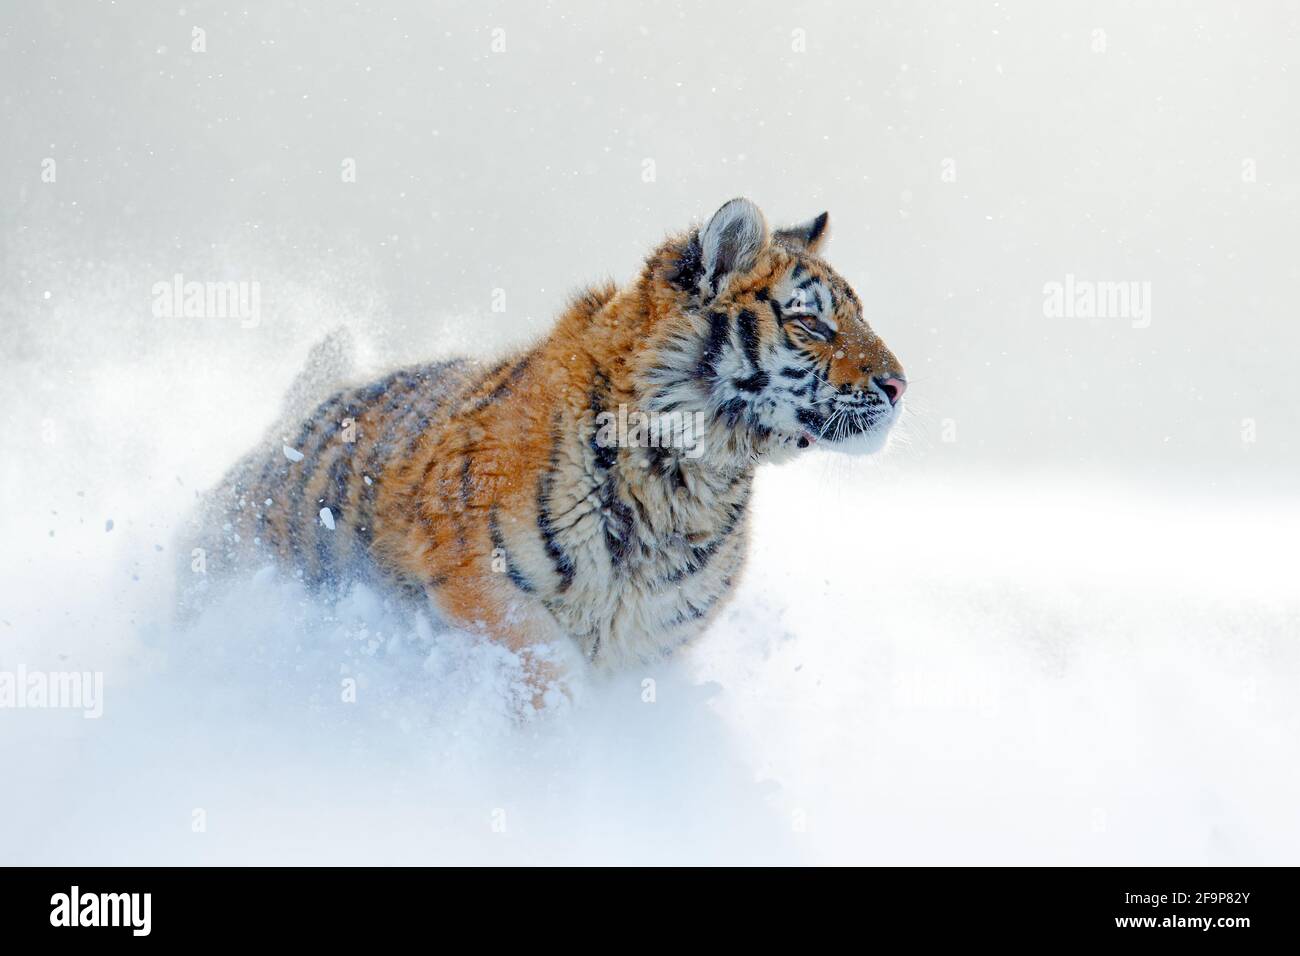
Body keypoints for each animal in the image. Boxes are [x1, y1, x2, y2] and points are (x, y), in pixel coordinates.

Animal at [193, 198, 907, 688]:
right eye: (812, 323)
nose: (900, 385)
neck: (690, 480)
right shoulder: (478, 581)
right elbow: (546, 669)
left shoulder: (649, 638)